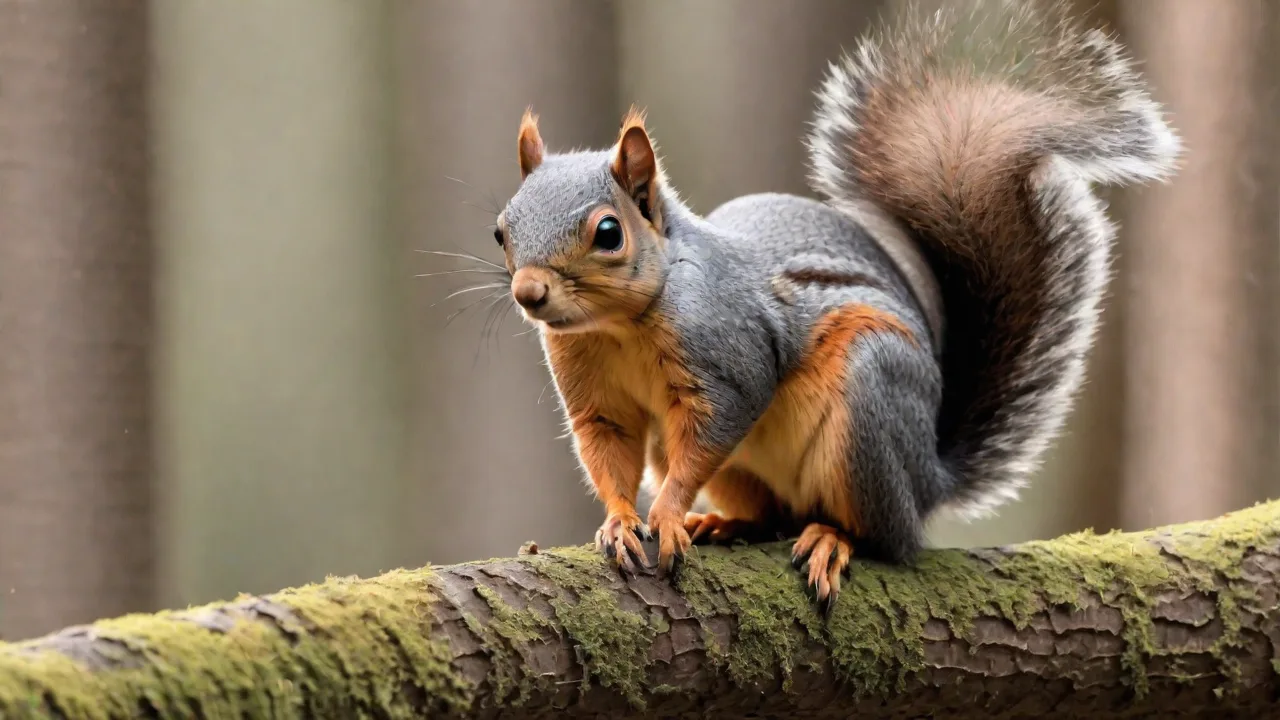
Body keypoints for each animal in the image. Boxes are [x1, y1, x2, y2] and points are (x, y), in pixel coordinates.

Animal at [485, 0, 1180, 606]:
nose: (529, 293)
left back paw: (831, 539)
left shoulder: (729, 355)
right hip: (752, 468)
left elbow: (712, 431)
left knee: (882, 539)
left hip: (868, 409)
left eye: (609, 232)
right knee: (772, 514)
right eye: (500, 229)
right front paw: (621, 521)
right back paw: (729, 524)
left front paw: (670, 514)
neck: (619, 325)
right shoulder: (595, 393)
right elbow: (608, 452)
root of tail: (928, 479)